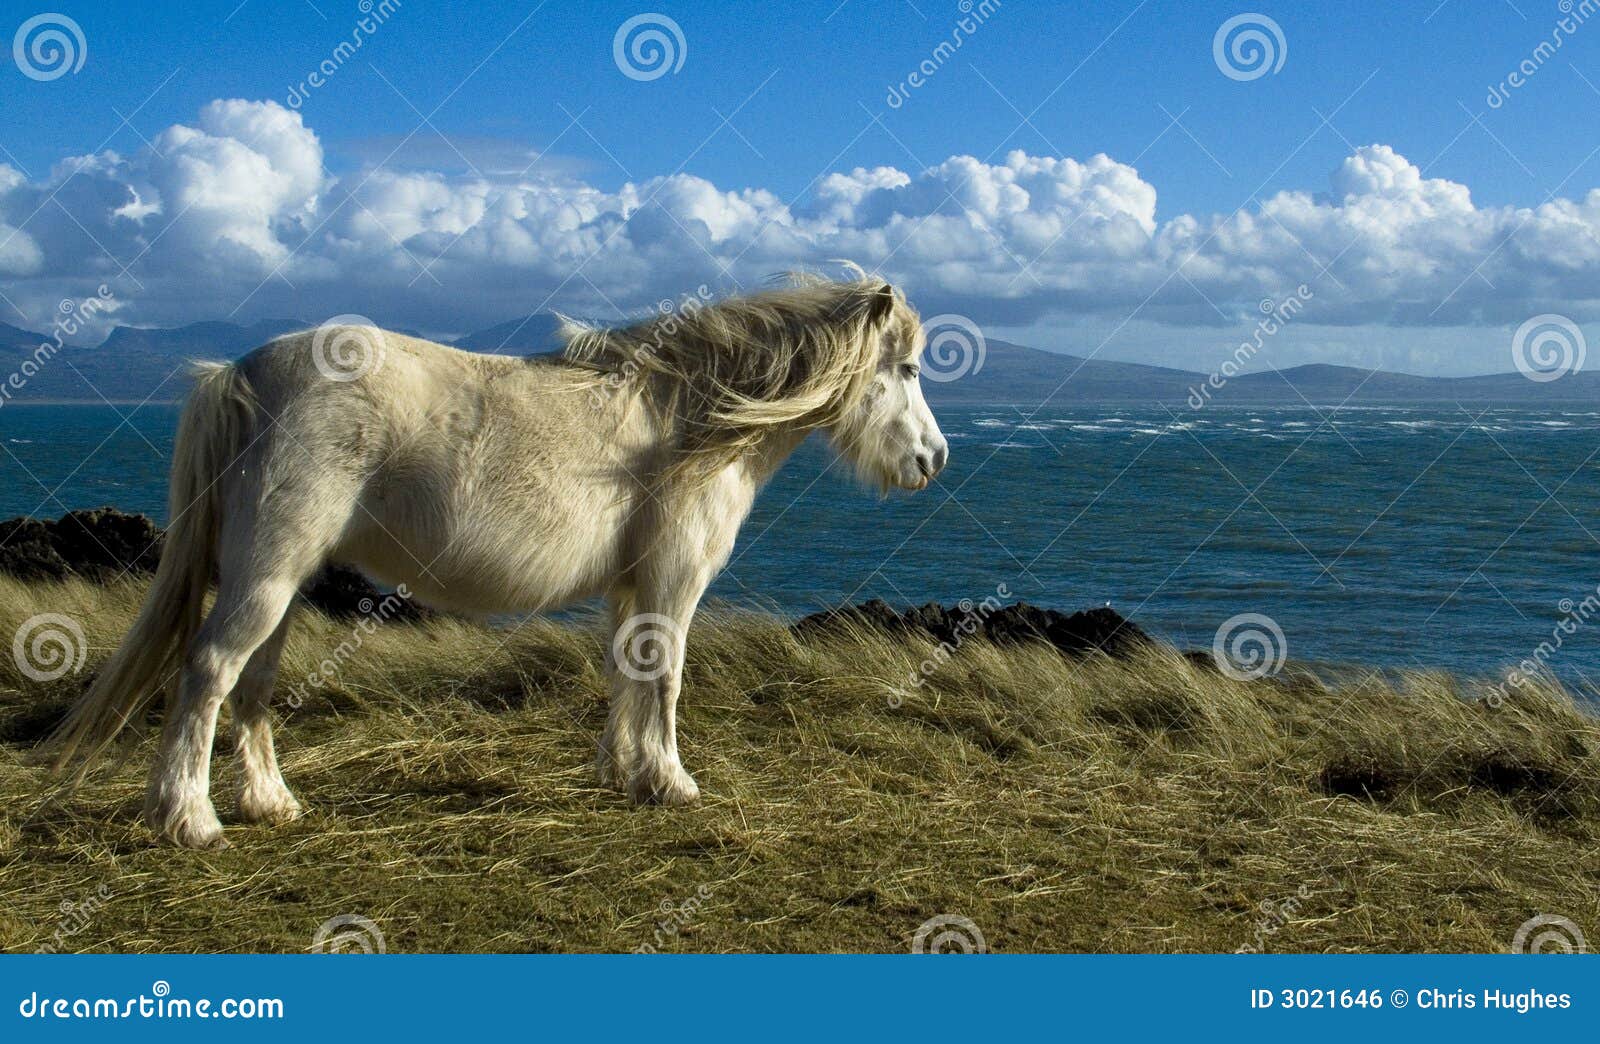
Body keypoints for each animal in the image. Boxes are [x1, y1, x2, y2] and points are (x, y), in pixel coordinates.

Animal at [51, 273, 948, 848]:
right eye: (904, 368)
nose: (933, 460)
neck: (691, 413)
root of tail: (239, 373)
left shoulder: (630, 588)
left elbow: (626, 673)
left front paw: (621, 772)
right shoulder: (672, 580)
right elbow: (665, 678)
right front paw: (671, 782)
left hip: (283, 583)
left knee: (254, 685)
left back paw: (270, 803)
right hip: (266, 577)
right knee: (209, 672)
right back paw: (189, 819)